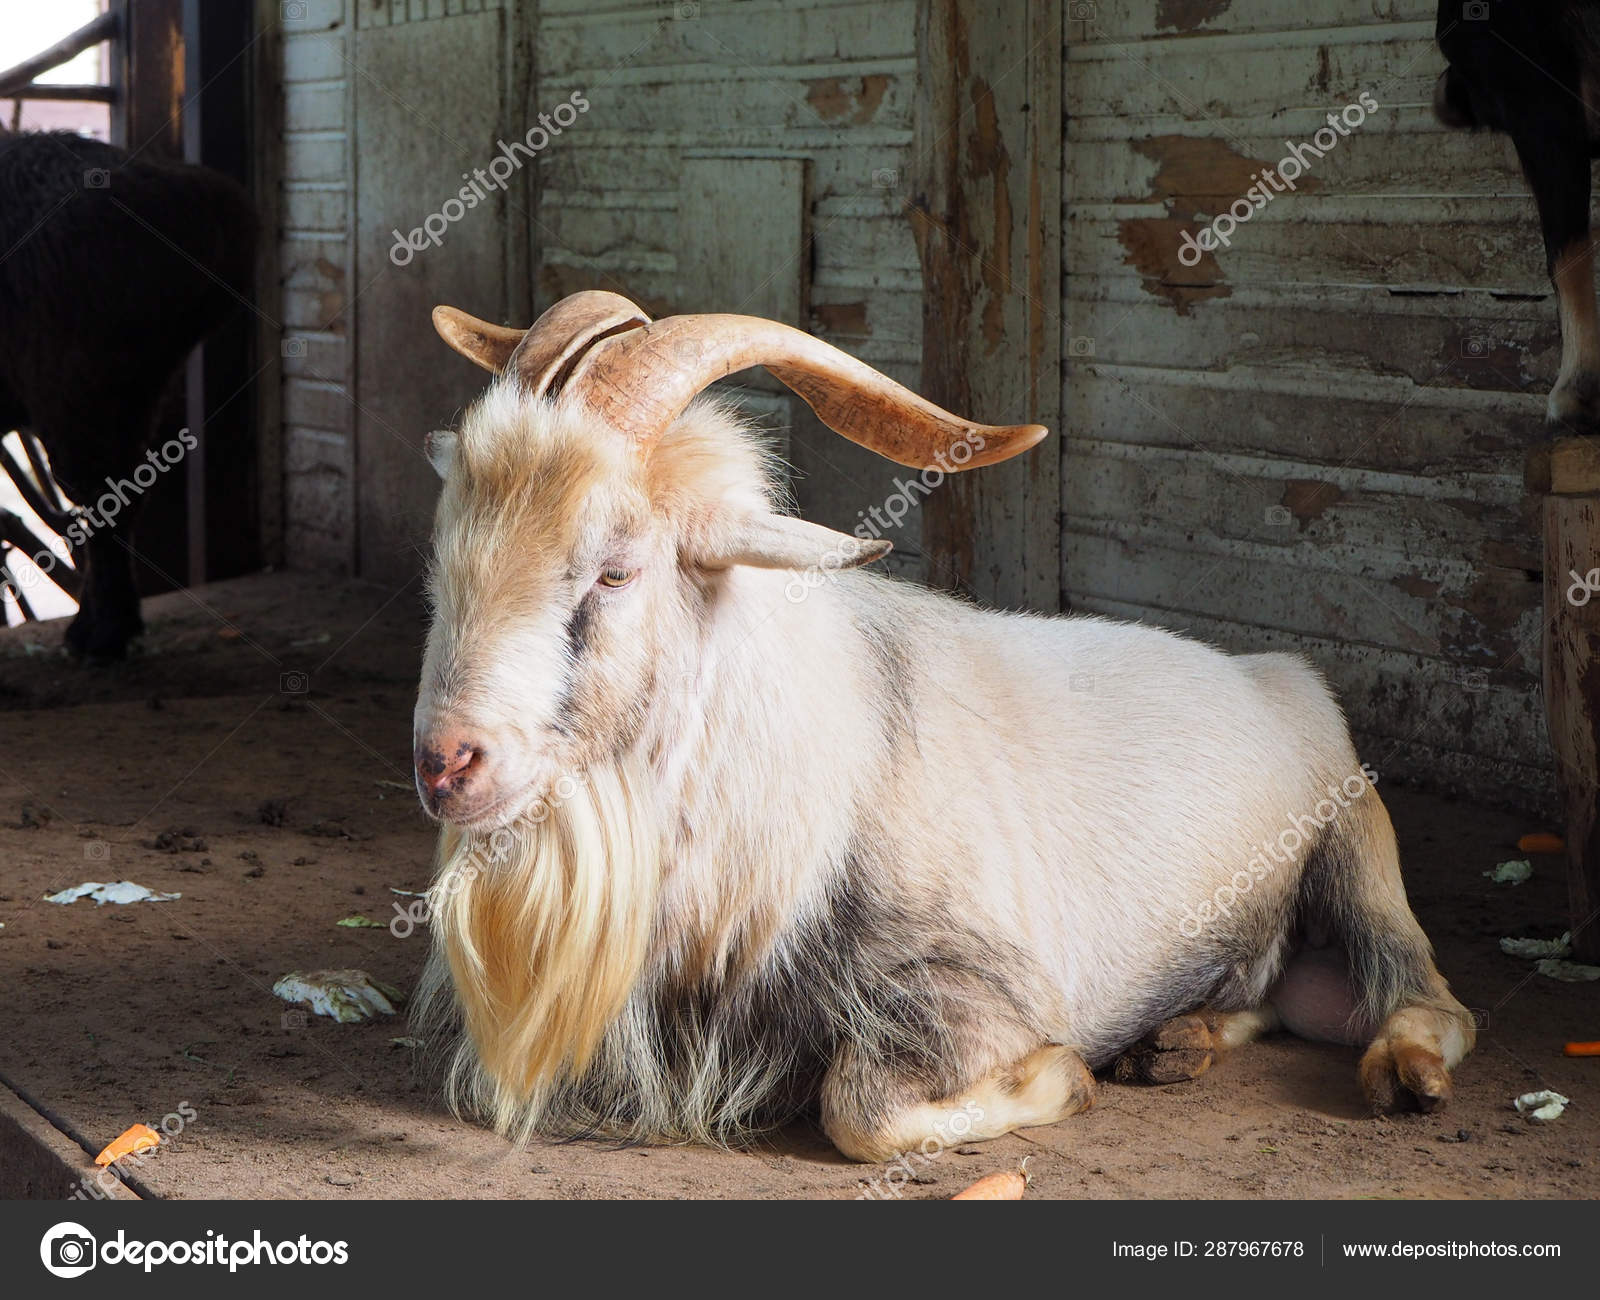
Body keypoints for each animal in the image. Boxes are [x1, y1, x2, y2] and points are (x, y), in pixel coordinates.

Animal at [410, 290, 1475, 1160]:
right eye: (445, 543)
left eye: (615, 570)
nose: (447, 763)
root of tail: (1274, 674)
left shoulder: (981, 990)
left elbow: (860, 1109)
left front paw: (1065, 1076)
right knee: (1276, 999)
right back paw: (1179, 1040)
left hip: (1357, 846)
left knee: (1432, 1001)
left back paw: (1400, 1075)